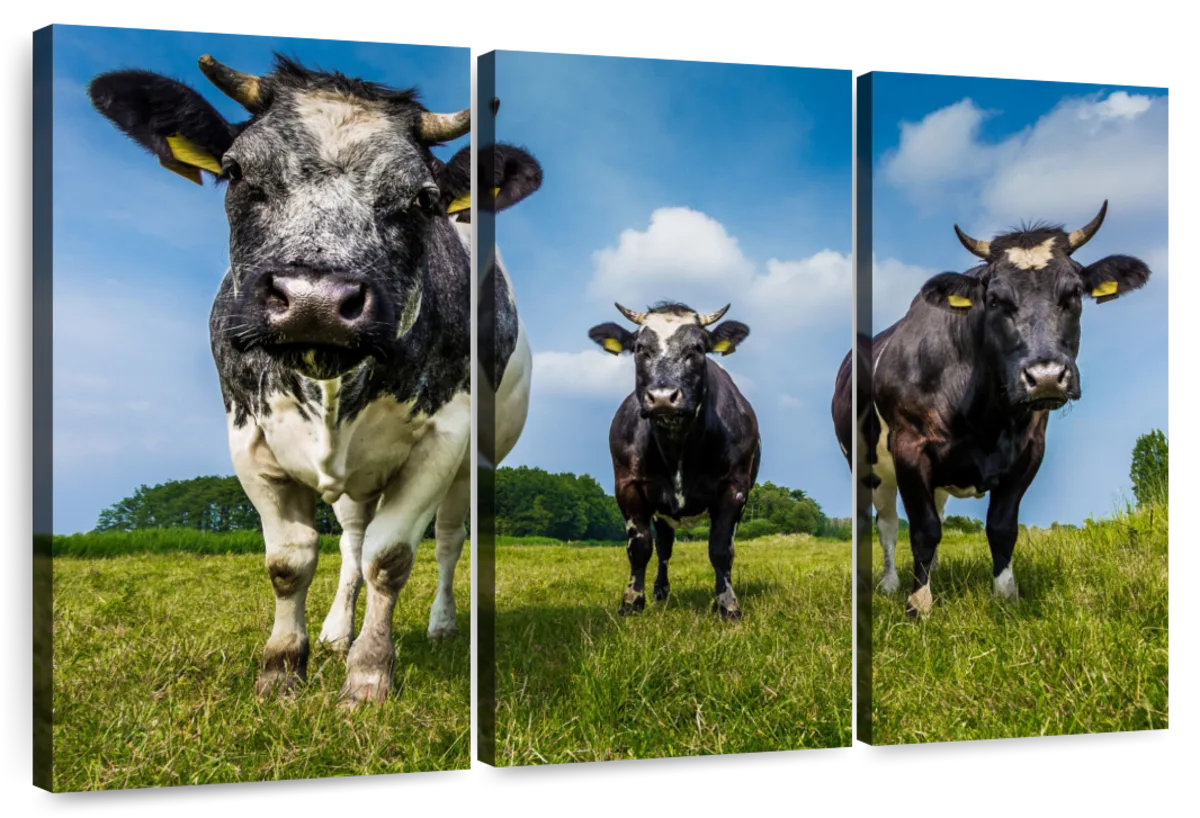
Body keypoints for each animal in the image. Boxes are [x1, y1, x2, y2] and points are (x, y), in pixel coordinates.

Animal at [90, 54, 541, 704]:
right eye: (235, 171)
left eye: (424, 198)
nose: (315, 303)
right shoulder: (248, 436)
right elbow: (291, 561)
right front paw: (282, 669)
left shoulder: (442, 439)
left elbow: (391, 558)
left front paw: (369, 675)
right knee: (351, 539)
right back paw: (335, 631)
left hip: (471, 465)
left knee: (448, 540)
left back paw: (441, 624)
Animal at [589, 303, 760, 619]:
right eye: (640, 348)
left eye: (698, 348)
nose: (662, 397)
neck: (677, 446)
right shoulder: (628, 487)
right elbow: (640, 547)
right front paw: (632, 602)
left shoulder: (735, 489)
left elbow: (721, 549)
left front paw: (728, 606)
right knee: (664, 548)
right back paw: (660, 592)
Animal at [832, 202, 1150, 616]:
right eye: (995, 300)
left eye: (1074, 293)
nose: (1046, 377)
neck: (984, 417)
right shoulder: (909, 446)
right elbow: (922, 528)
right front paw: (919, 604)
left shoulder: (1029, 451)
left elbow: (1001, 526)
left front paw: (1005, 596)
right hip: (867, 466)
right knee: (884, 523)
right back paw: (888, 582)